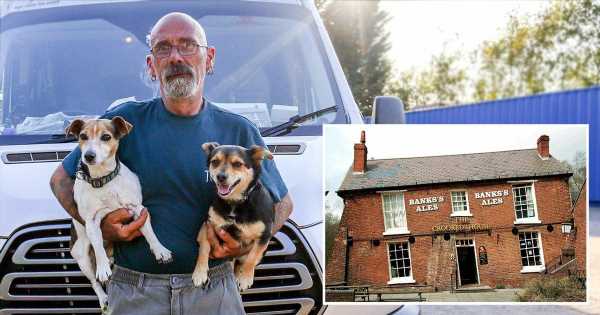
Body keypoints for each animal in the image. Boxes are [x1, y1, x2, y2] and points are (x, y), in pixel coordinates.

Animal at [66, 118, 172, 308]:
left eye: (106, 137)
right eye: (83, 136)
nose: (88, 156)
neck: (103, 180)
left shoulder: (137, 208)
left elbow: (150, 233)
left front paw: (160, 250)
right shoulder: (92, 222)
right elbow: (98, 245)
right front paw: (102, 269)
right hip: (82, 257)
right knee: (93, 281)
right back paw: (103, 295)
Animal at [193, 143, 276, 292]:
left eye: (237, 164)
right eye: (215, 162)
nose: (221, 176)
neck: (235, 202)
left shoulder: (264, 236)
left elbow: (252, 258)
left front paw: (245, 278)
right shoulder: (207, 225)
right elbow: (204, 248)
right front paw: (199, 273)